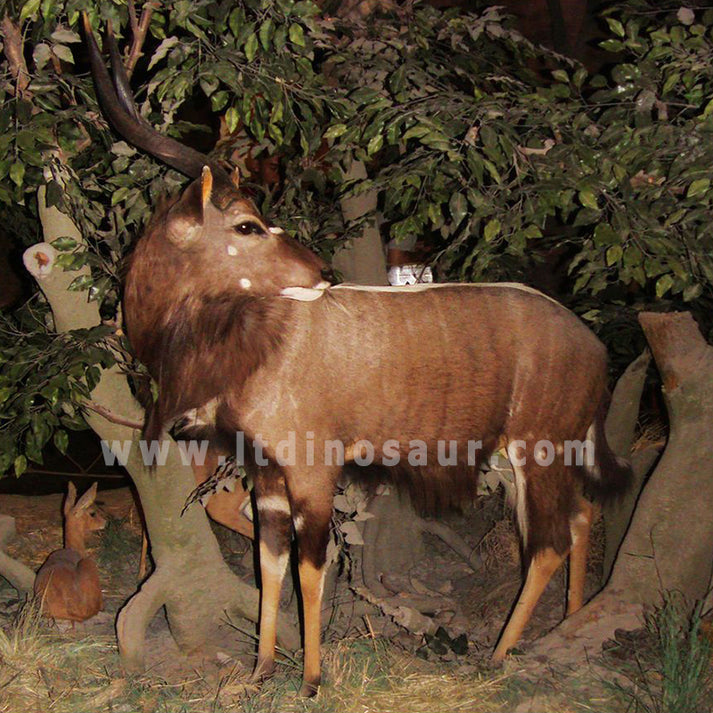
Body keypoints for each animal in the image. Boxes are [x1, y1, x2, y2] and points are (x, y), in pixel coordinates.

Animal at [85, 18, 631, 696]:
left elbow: (310, 568)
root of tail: (596, 351)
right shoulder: (265, 475)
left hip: (539, 448)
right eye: (246, 225)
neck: (255, 343)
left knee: (550, 540)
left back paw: (500, 653)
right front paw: (261, 670)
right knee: (580, 515)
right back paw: (571, 620)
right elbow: (269, 564)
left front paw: (312, 679)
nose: (322, 272)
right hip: (520, 457)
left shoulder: (314, 468)